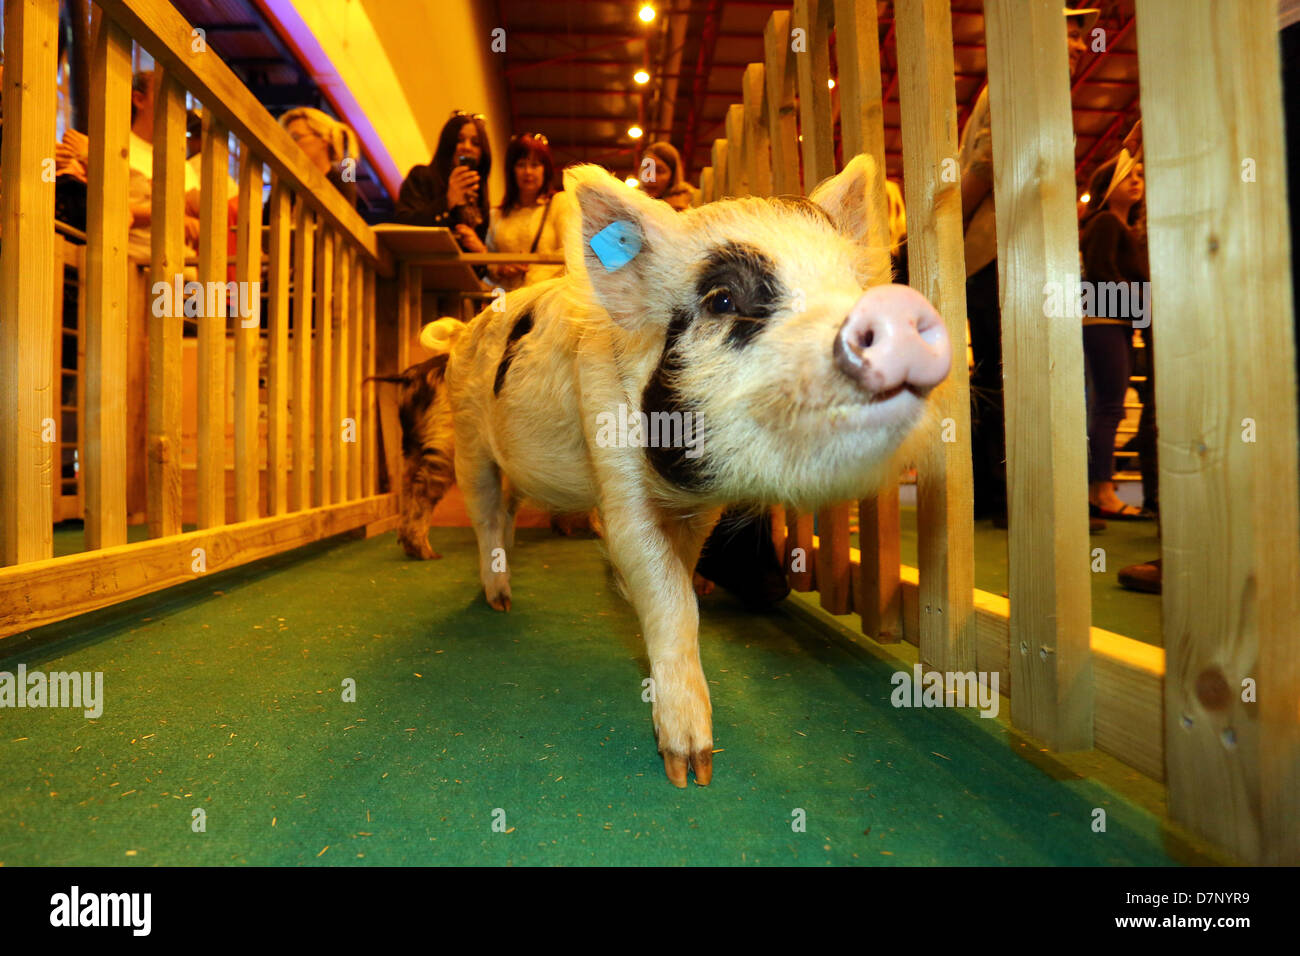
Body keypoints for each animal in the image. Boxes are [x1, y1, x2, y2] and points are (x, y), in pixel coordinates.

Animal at [395, 154, 951, 787]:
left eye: (856, 285)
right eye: (722, 301)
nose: (894, 312)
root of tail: (459, 331)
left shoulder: (700, 510)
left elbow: (683, 575)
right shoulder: (612, 461)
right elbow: (663, 588)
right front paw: (692, 770)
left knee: (508, 509)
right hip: (465, 440)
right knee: (484, 512)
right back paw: (497, 600)